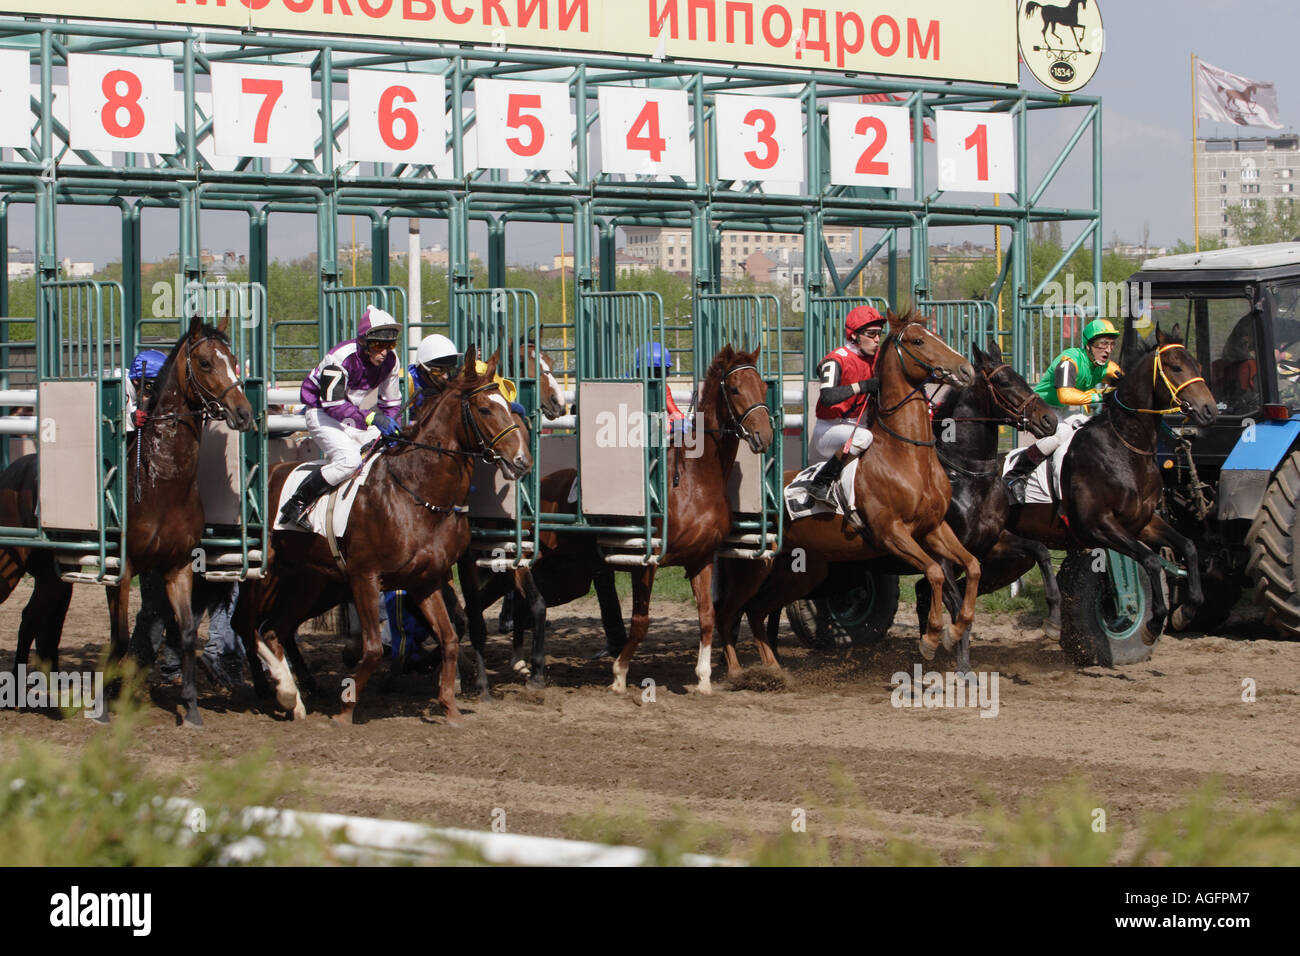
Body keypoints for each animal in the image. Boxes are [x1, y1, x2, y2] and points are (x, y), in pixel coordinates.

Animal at [0, 314, 255, 726]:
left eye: (233, 360)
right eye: (205, 363)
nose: (244, 413)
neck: (159, 482)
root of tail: (14, 467)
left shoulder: (177, 566)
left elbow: (185, 632)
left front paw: (191, 708)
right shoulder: (122, 568)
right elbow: (118, 638)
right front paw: (102, 707)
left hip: (53, 576)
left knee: (31, 619)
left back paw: (28, 694)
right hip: (9, 563)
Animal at [236, 346, 532, 725]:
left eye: (508, 404)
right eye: (484, 409)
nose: (522, 461)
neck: (416, 493)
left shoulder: (425, 580)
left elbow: (450, 638)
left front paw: (449, 706)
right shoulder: (365, 576)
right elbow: (375, 648)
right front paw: (346, 708)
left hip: (309, 580)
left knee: (275, 629)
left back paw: (295, 700)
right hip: (264, 573)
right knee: (248, 625)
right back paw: (281, 690)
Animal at [712, 308, 978, 682]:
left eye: (934, 335)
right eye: (918, 341)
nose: (966, 370)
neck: (908, 456)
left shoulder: (934, 528)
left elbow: (973, 565)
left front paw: (956, 630)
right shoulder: (892, 533)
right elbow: (936, 573)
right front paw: (931, 639)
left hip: (803, 570)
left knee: (756, 610)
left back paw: (771, 670)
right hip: (752, 566)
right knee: (728, 610)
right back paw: (735, 671)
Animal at [995, 325, 1218, 645]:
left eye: (1197, 365)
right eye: (1175, 366)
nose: (1209, 409)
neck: (1124, 448)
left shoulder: (1143, 522)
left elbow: (1188, 546)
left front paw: (1185, 611)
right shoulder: (1099, 525)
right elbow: (1151, 561)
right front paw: (1152, 624)